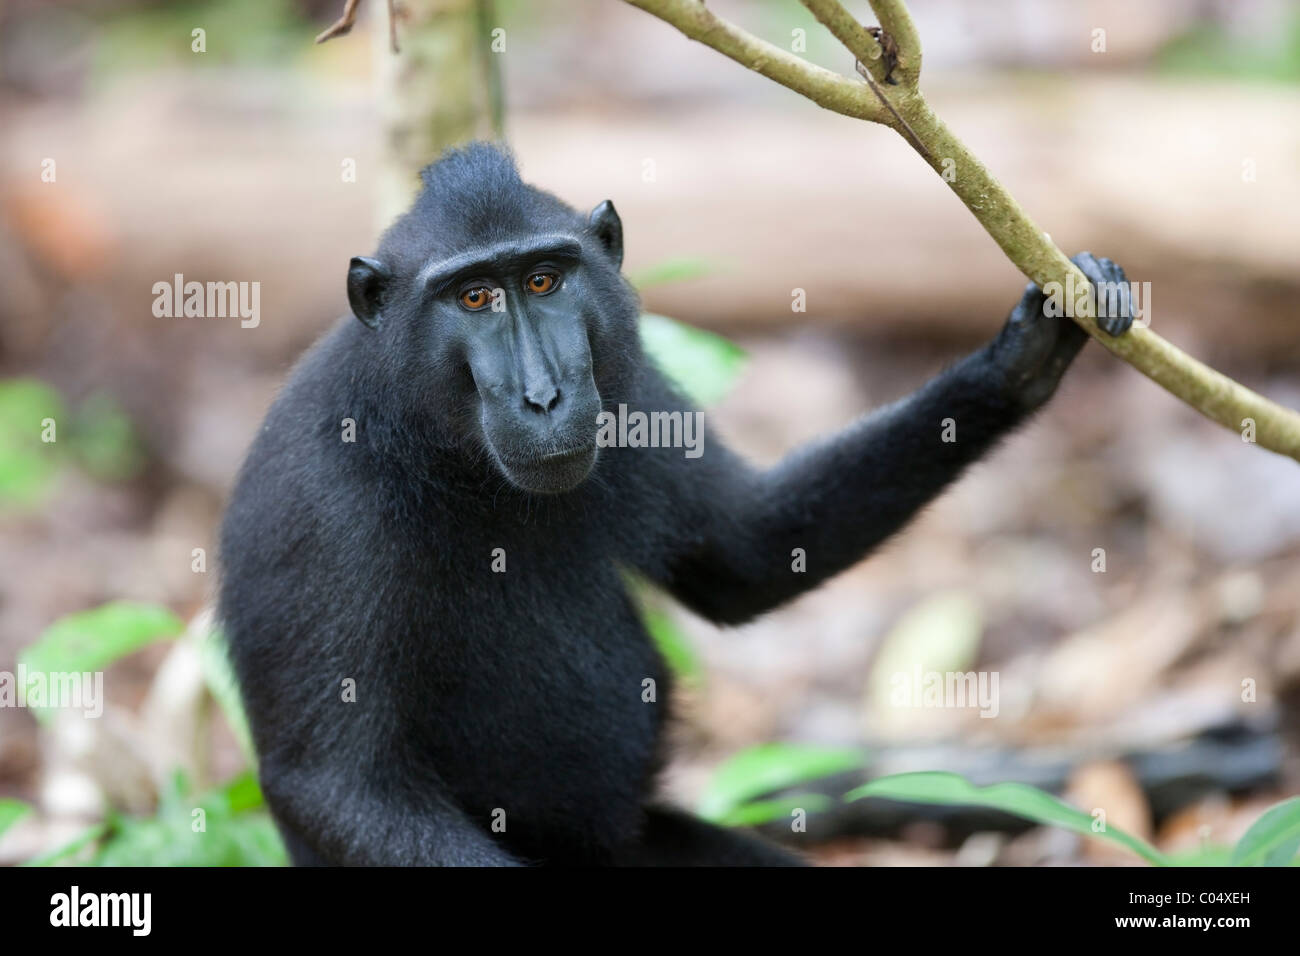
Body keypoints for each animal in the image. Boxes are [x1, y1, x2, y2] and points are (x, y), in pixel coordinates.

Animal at [217, 142, 1132, 866]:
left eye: (543, 280)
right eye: (473, 298)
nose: (545, 397)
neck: (449, 454)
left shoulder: (632, 389)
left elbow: (745, 554)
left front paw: (1025, 353)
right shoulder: (324, 504)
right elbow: (340, 784)